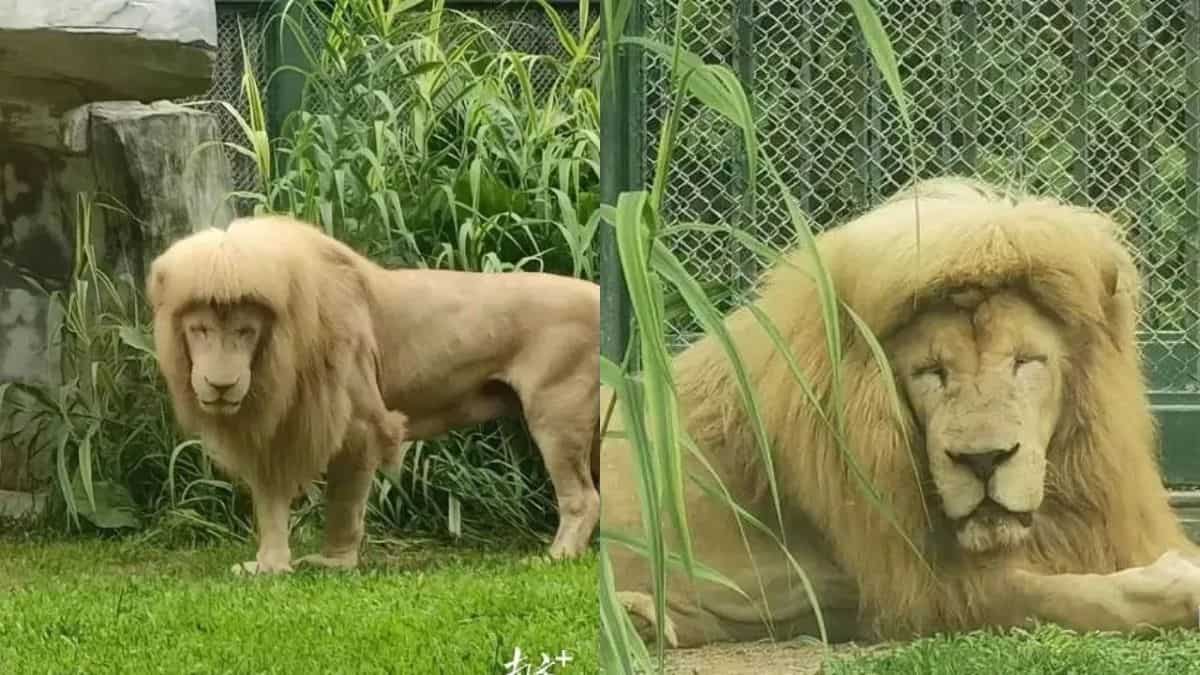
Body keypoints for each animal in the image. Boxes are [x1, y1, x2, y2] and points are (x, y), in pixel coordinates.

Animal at [148, 215, 600, 574]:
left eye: (245, 331)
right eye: (200, 330)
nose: (220, 384)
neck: (276, 357)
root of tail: (598, 293)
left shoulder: (361, 424)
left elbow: (344, 502)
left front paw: (335, 562)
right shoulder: (273, 429)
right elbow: (270, 504)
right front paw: (268, 566)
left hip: (557, 414)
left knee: (584, 497)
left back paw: (557, 556)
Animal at [601, 177, 1200, 648]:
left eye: (1027, 361)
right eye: (931, 372)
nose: (983, 461)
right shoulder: (917, 590)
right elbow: (1063, 596)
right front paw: (1175, 585)